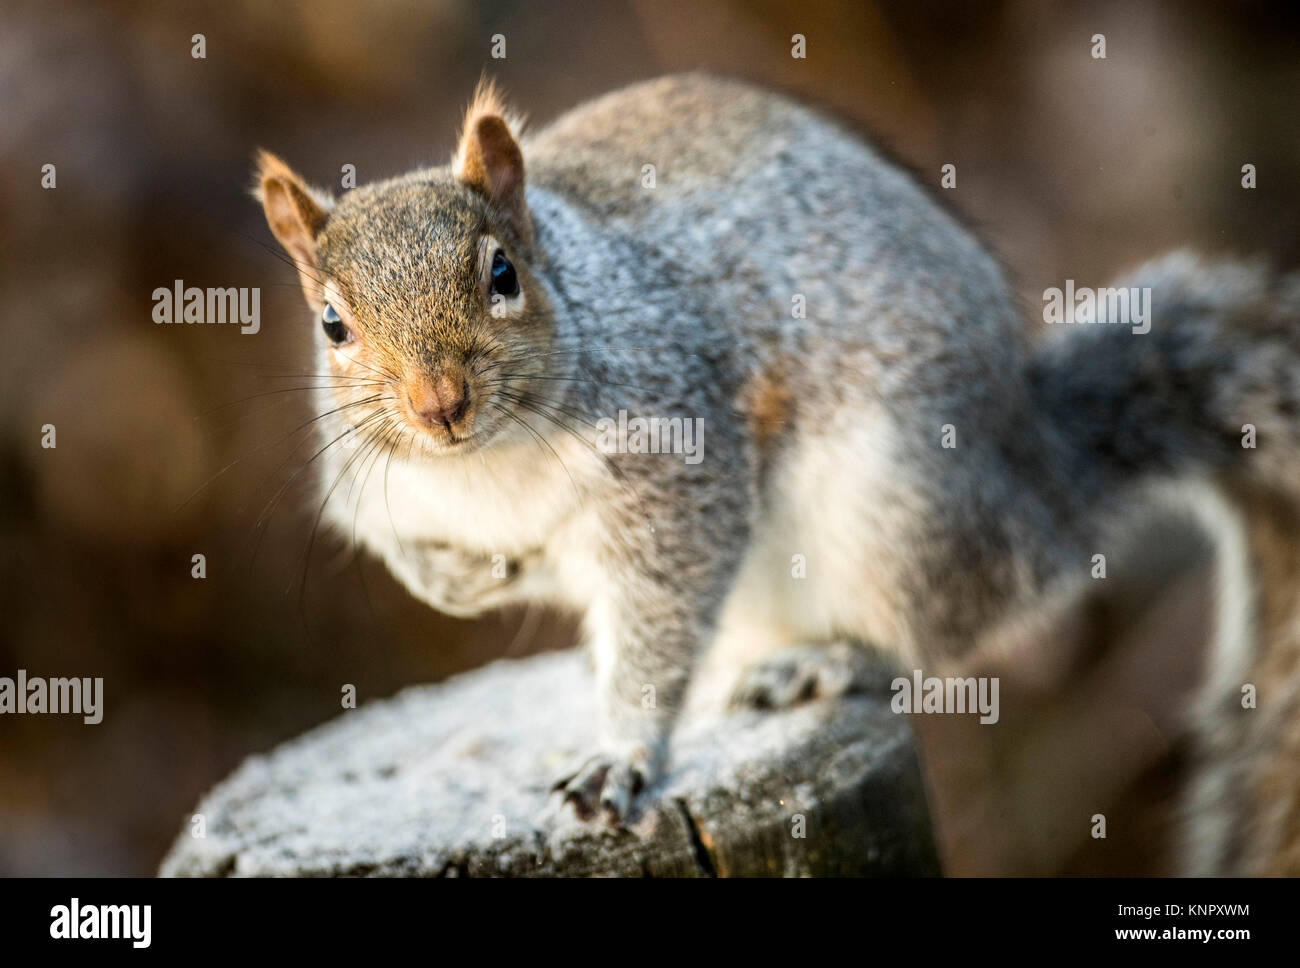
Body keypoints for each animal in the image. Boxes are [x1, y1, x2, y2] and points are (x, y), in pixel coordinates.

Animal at [254, 73, 1300, 870]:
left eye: (503, 273)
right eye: (332, 325)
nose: (439, 404)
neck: (486, 465)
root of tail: (1039, 485)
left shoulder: (678, 461)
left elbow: (663, 607)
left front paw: (621, 753)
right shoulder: (368, 490)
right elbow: (404, 550)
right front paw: (463, 580)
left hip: (899, 504)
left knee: (939, 635)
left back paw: (828, 661)